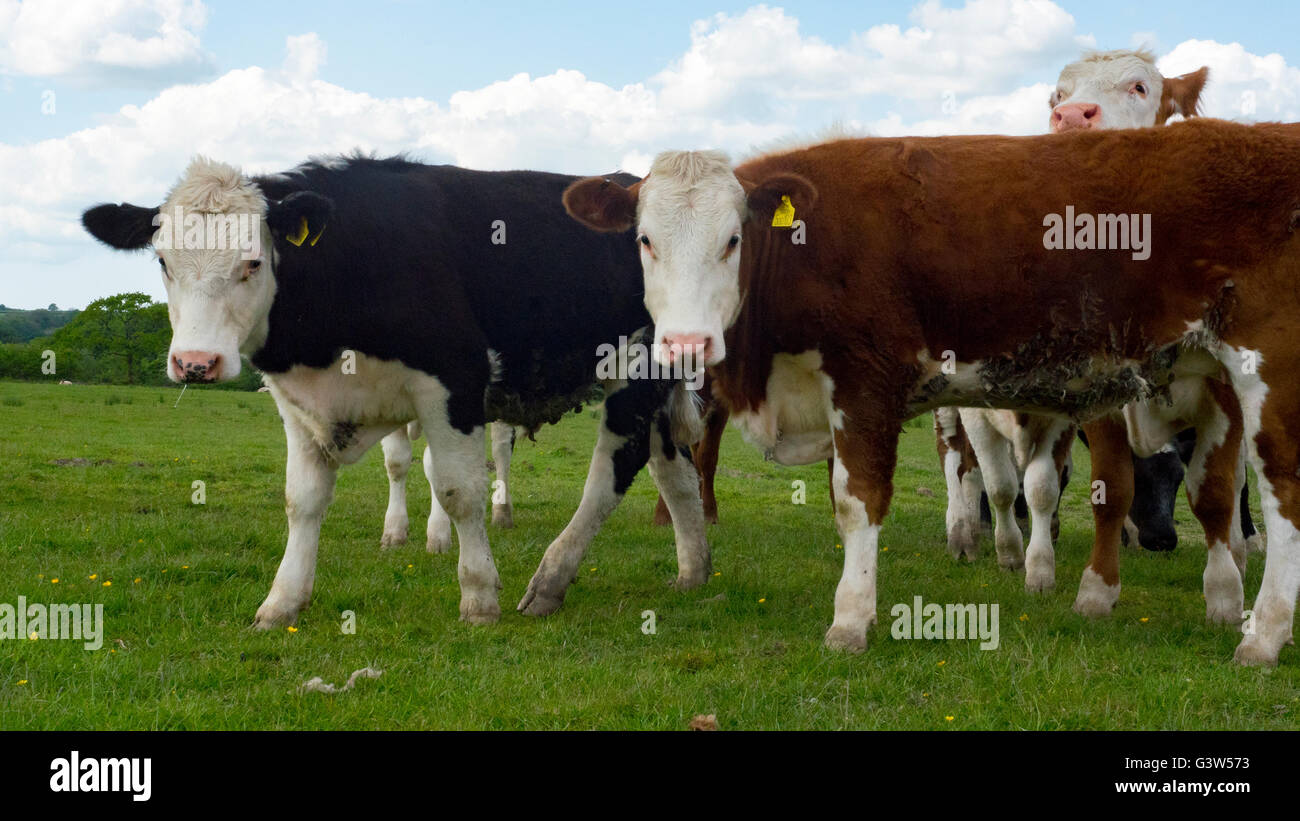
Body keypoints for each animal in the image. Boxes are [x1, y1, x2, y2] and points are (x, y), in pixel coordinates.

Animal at [81, 155, 711, 629]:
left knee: (612, 472)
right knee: (673, 469)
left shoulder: (453, 383)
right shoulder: (298, 403)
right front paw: (282, 602)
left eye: (252, 262)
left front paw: (479, 597)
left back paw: (551, 581)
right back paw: (693, 571)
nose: (195, 363)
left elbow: (458, 490)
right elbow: (302, 499)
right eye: (164, 262)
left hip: (639, 375)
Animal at [563, 119, 1300, 665]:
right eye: (645, 240)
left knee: (1280, 493)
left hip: (1267, 370)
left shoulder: (866, 382)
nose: (686, 343)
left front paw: (851, 618)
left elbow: (858, 501)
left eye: (733, 239)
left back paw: (1263, 634)